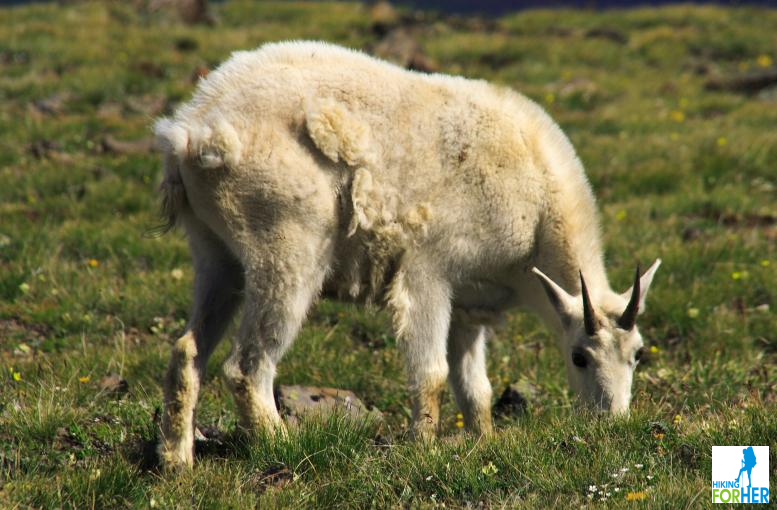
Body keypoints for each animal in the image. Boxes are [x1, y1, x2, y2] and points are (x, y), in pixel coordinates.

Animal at [153, 41, 660, 468]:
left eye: (638, 354)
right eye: (579, 357)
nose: (611, 422)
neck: (538, 205)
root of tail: (190, 134)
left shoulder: (470, 302)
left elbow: (475, 387)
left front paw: (484, 441)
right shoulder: (429, 270)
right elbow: (432, 373)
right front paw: (424, 447)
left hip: (215, 252)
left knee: (188, 349)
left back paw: (177, 462)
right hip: (285, 244)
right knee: (247, 366)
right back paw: (284, 444)